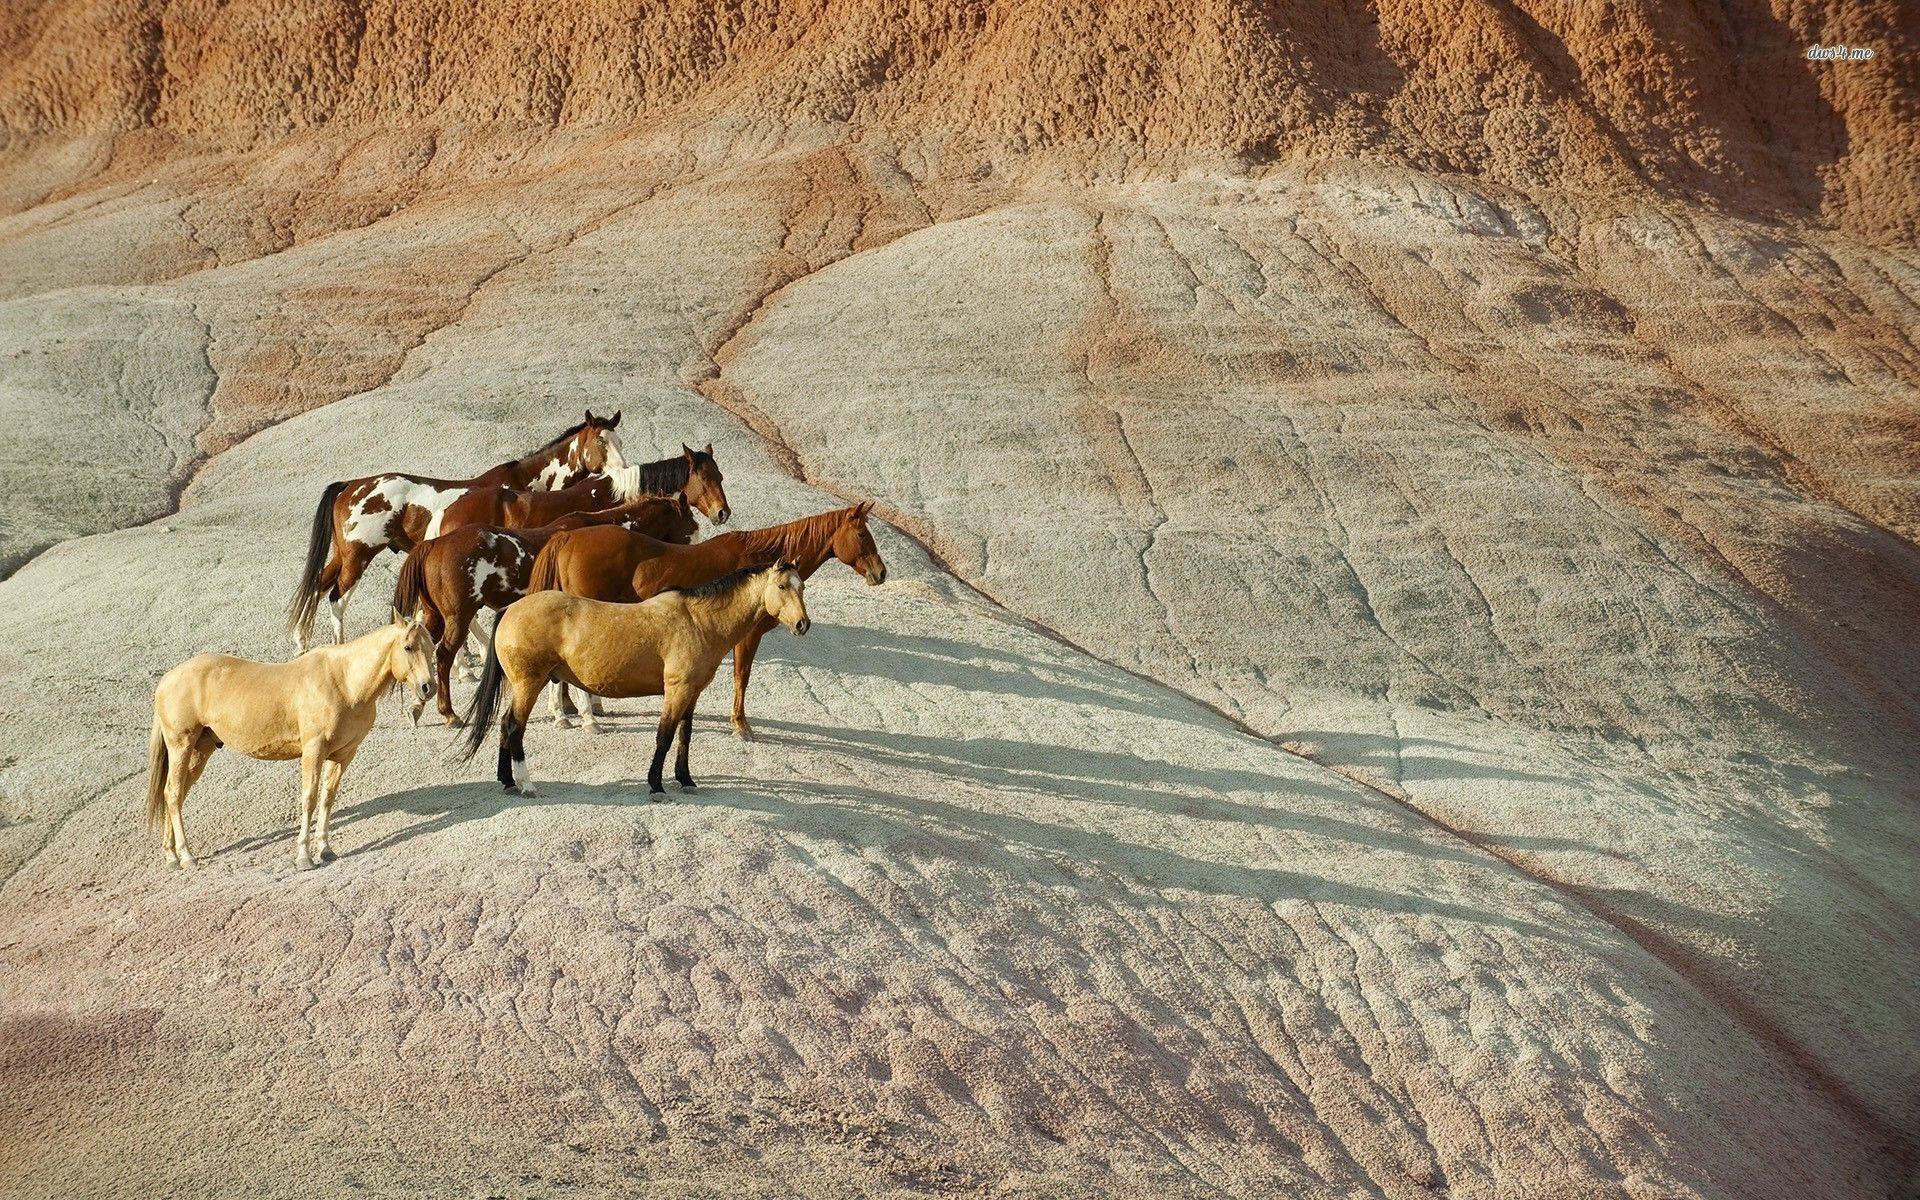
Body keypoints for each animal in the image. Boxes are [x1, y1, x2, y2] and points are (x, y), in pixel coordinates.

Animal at [146, 619, 437, 869]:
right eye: (408, 647)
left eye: (432, 645)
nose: (428, 688)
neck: (344, 682)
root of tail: (167, 679)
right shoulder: (313, 751)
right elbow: (309, 798)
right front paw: (304, 856)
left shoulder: (343, 755)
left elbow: (327, 798)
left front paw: (325, 849)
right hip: (181, 746)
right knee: (173, 793)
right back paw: (186, 856)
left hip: (199, 751)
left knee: (174, 794)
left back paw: (171, 855)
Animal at [289, 419, 730, 648]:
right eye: (706, 479)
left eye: (720, 476)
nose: (723, 513)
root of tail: (349, 485)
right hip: (359, 556)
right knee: (337, 598)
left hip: (344, 555)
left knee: (317, 587)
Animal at [390, 494, 700, 726]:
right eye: (691, 529)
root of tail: (433, 544)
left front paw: (568, 706)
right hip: (458, 616)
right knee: (444, 655)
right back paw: (449, 712)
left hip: (435, 617)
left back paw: (420, 701)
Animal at [461, 562, 810, 797]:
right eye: (782, 587)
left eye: (802, 587)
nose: (802, 624)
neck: (698, 621)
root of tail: (510, 609)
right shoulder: (676, 691)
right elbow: (664, 736)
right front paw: (656, 784)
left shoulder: (692, 693)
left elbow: (684, 736)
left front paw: (685, 779)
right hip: (529, 684)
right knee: (514, 727)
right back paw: (526, 783)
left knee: (505, 723)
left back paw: (507, 780)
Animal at [525, 503, 886, 738]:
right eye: (862, 535)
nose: (881, 573)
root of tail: (569, 538)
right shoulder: (748, 637)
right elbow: (742, 676)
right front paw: (740, 725)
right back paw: (586, 718)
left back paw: (564, 714)